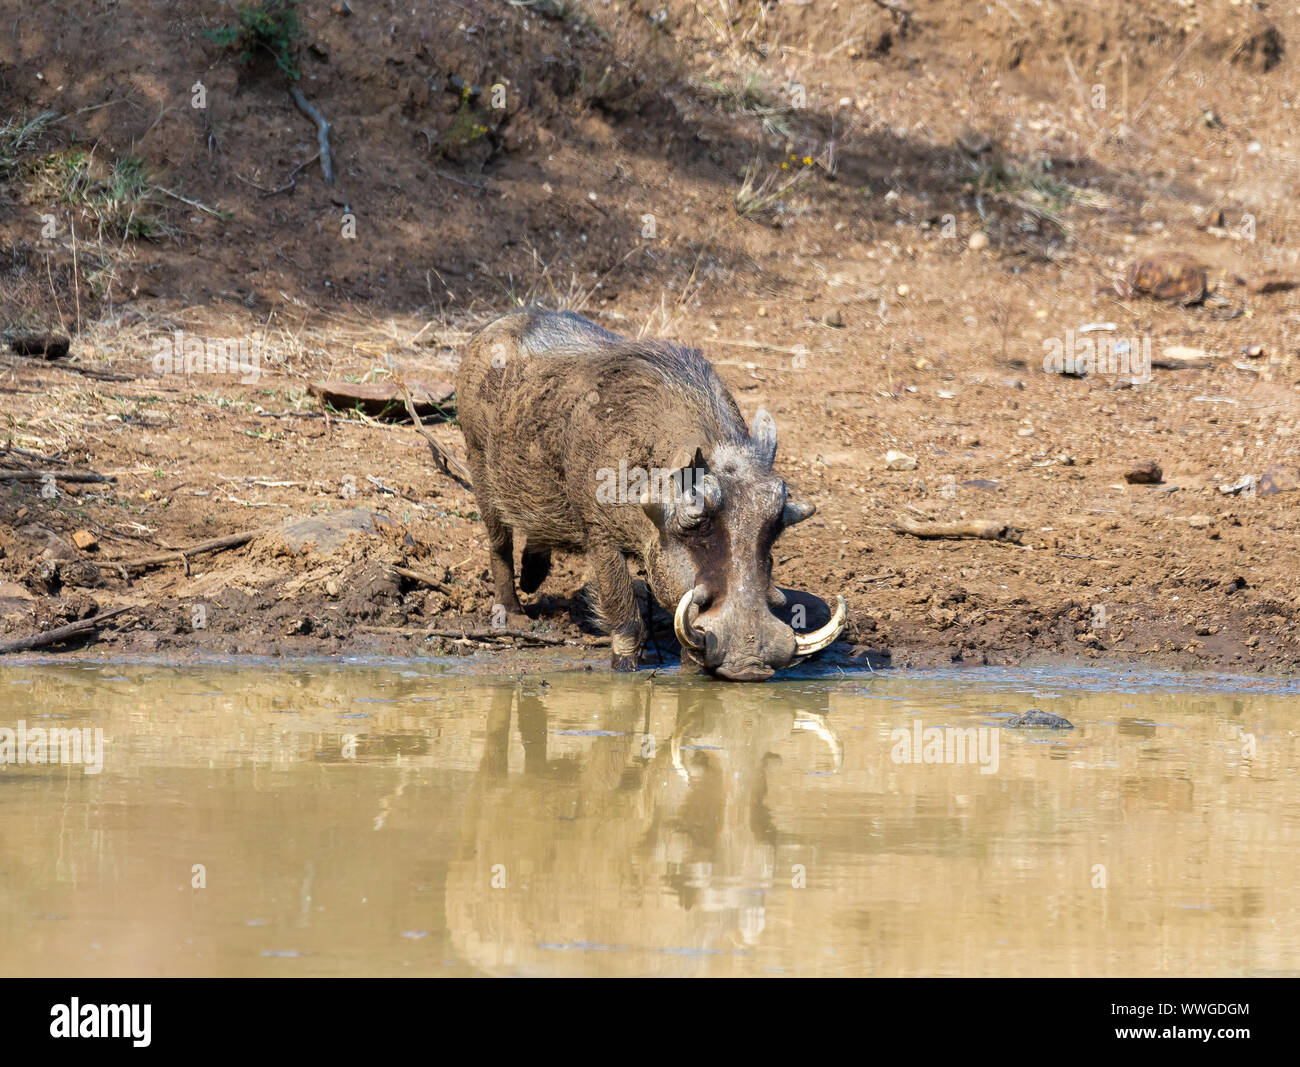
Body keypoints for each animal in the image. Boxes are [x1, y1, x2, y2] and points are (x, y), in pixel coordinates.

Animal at [455, 308, 846, 680]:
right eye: (692, 522)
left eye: (775, 521)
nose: (750, 666)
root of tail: (492, 327)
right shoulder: (600, 533)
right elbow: (626, 616)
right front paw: (624, 671)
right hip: (478, 463)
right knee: (499, 543)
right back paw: (513, 615)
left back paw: (533, 578)